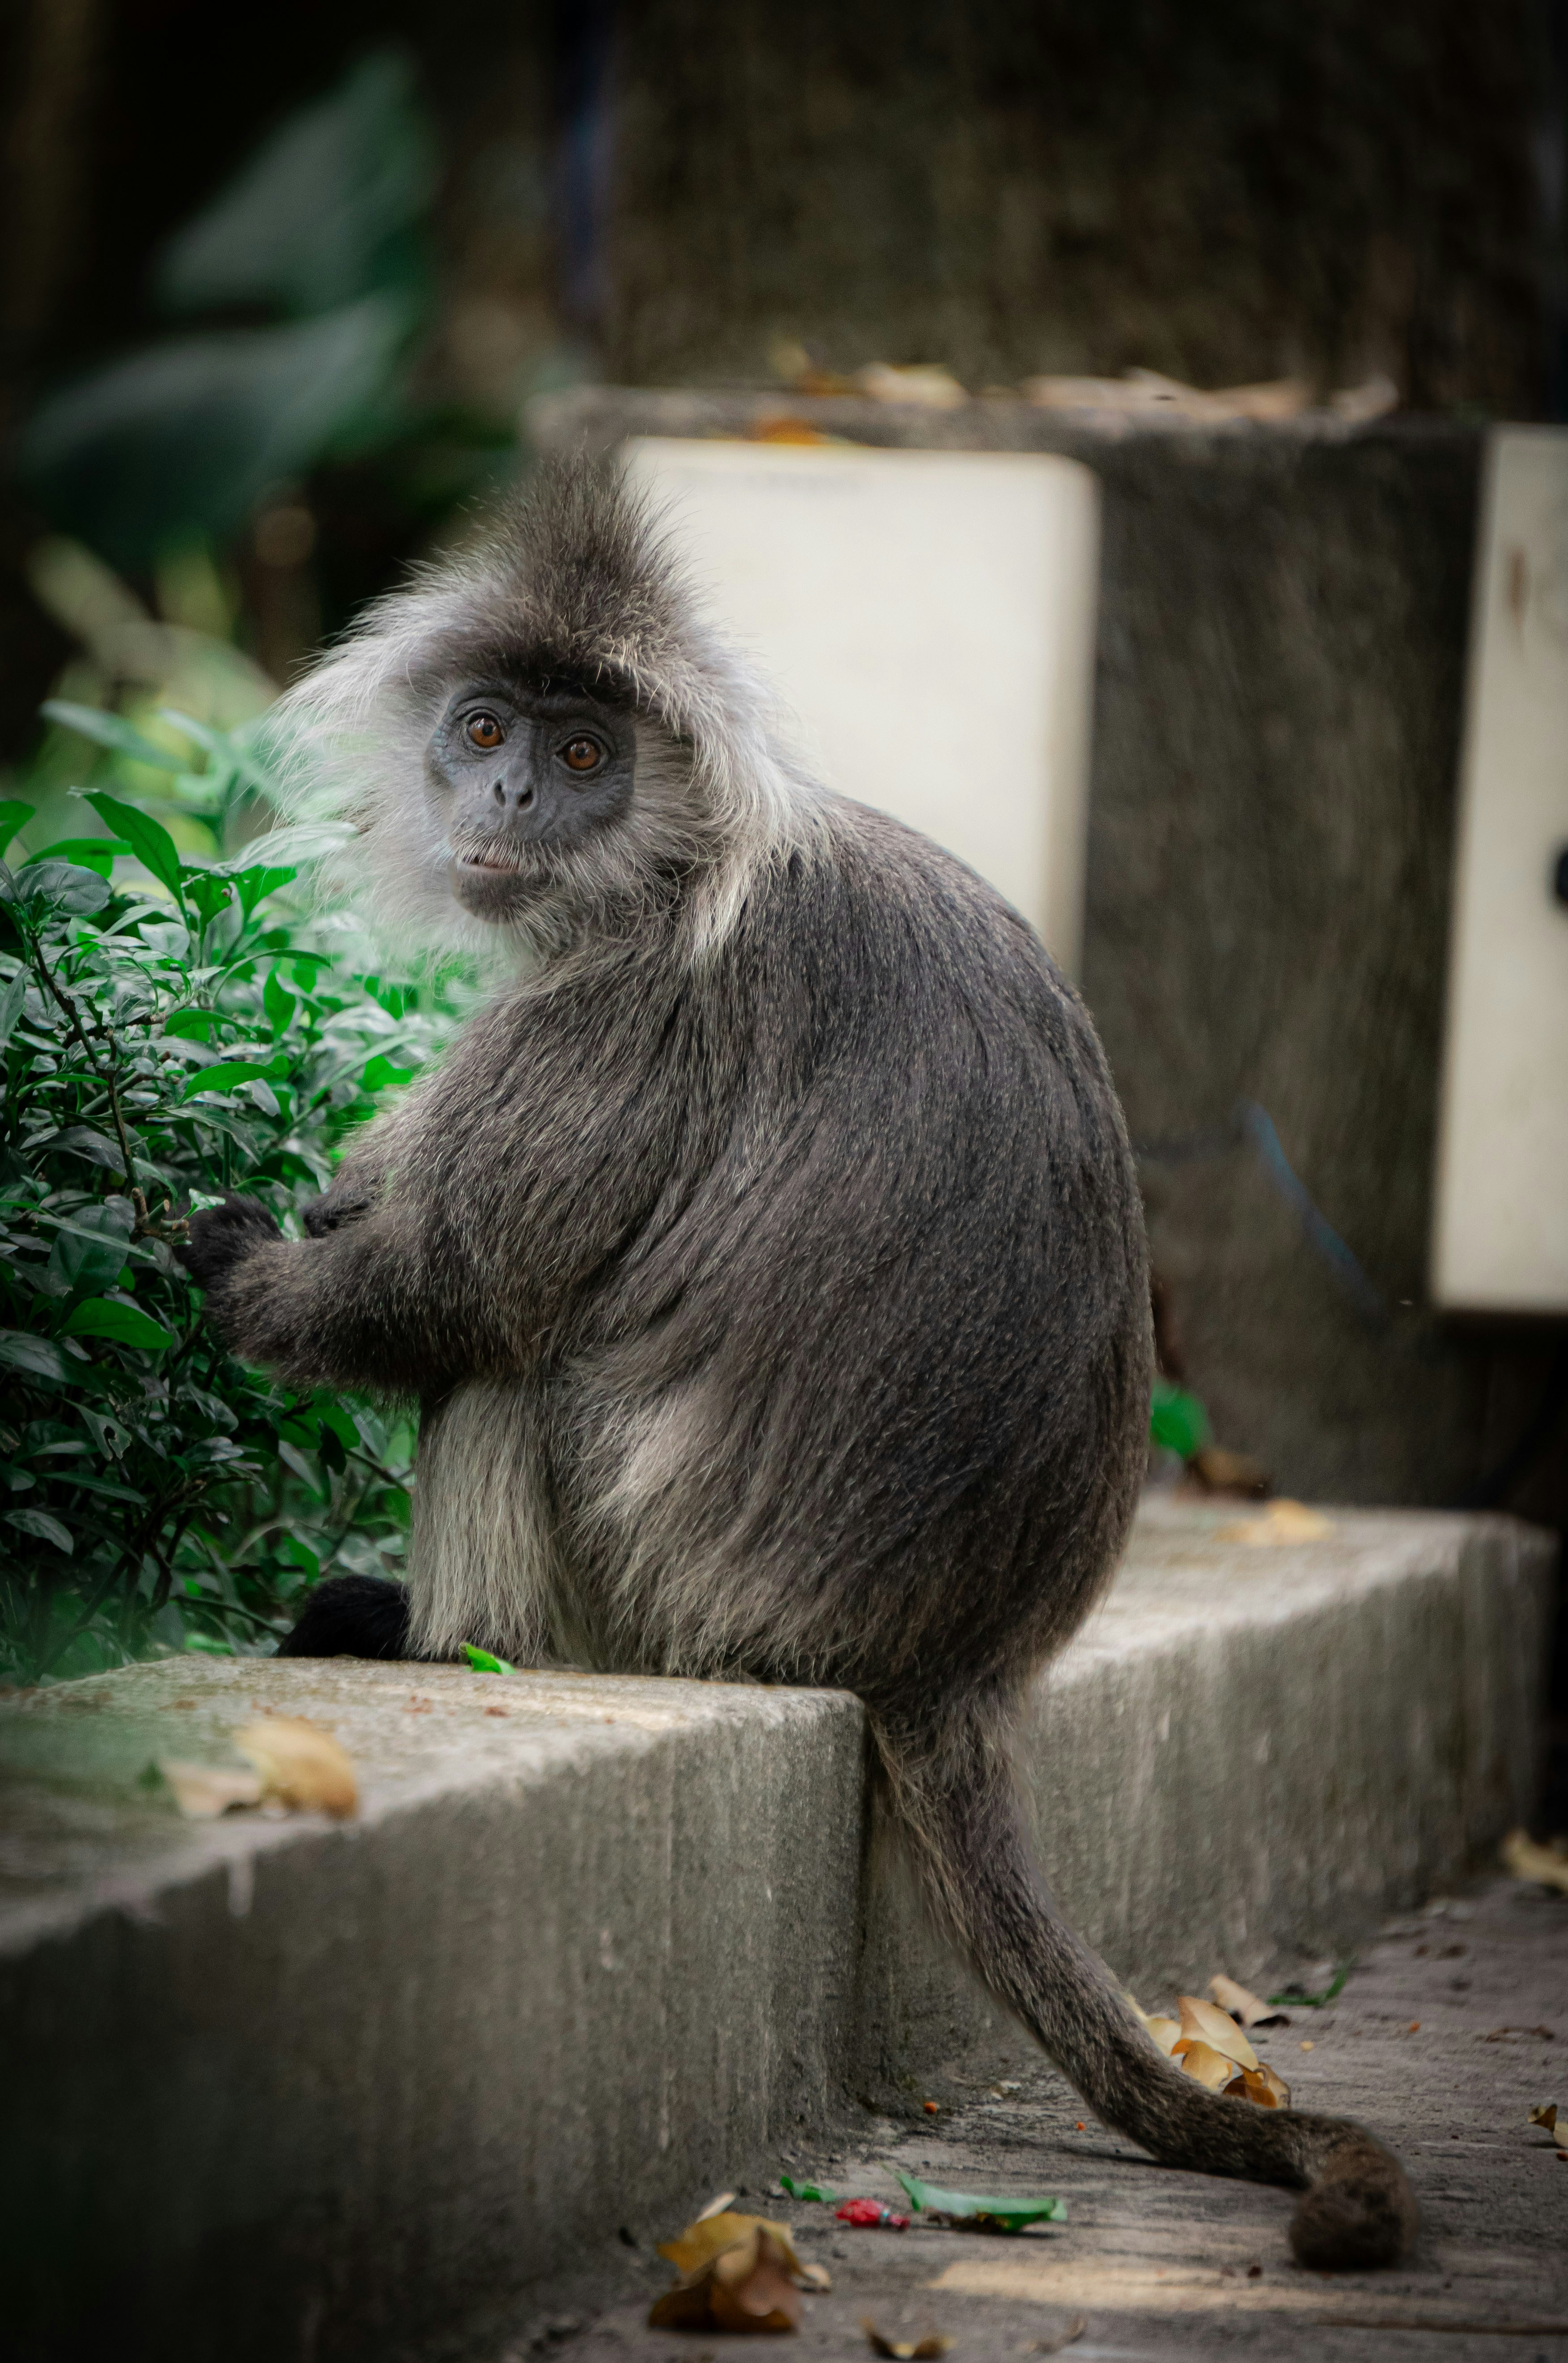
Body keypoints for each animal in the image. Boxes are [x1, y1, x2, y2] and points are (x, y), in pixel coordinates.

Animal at [181, 459, 1415, 2273]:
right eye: (484, 730)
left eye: (584, 756)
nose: (513, 798)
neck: (678, 867)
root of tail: (944, 1660)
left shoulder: (629, 1009)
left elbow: (447, 1293)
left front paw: (245, 1273)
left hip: (670, 1588)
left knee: (505, 1365)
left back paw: (440, 1645)